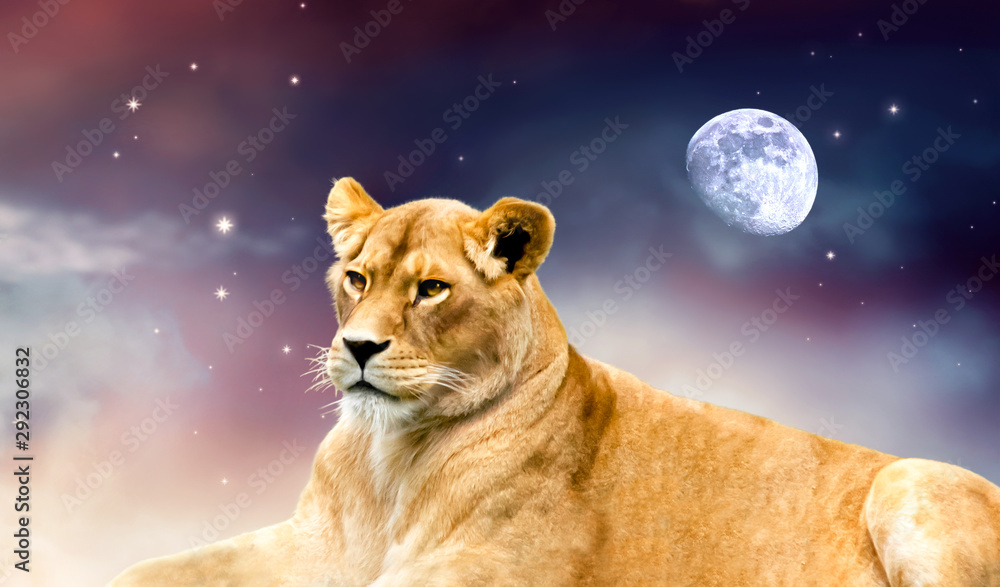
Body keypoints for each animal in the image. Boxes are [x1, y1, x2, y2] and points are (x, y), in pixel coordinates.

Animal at [113, 177, 1000, 586]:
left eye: (431, 289)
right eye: (357, 277)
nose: (357, 347)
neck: (389, 452)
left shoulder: (495, 564)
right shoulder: (316, 544)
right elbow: (159, 568)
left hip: (911, 482)